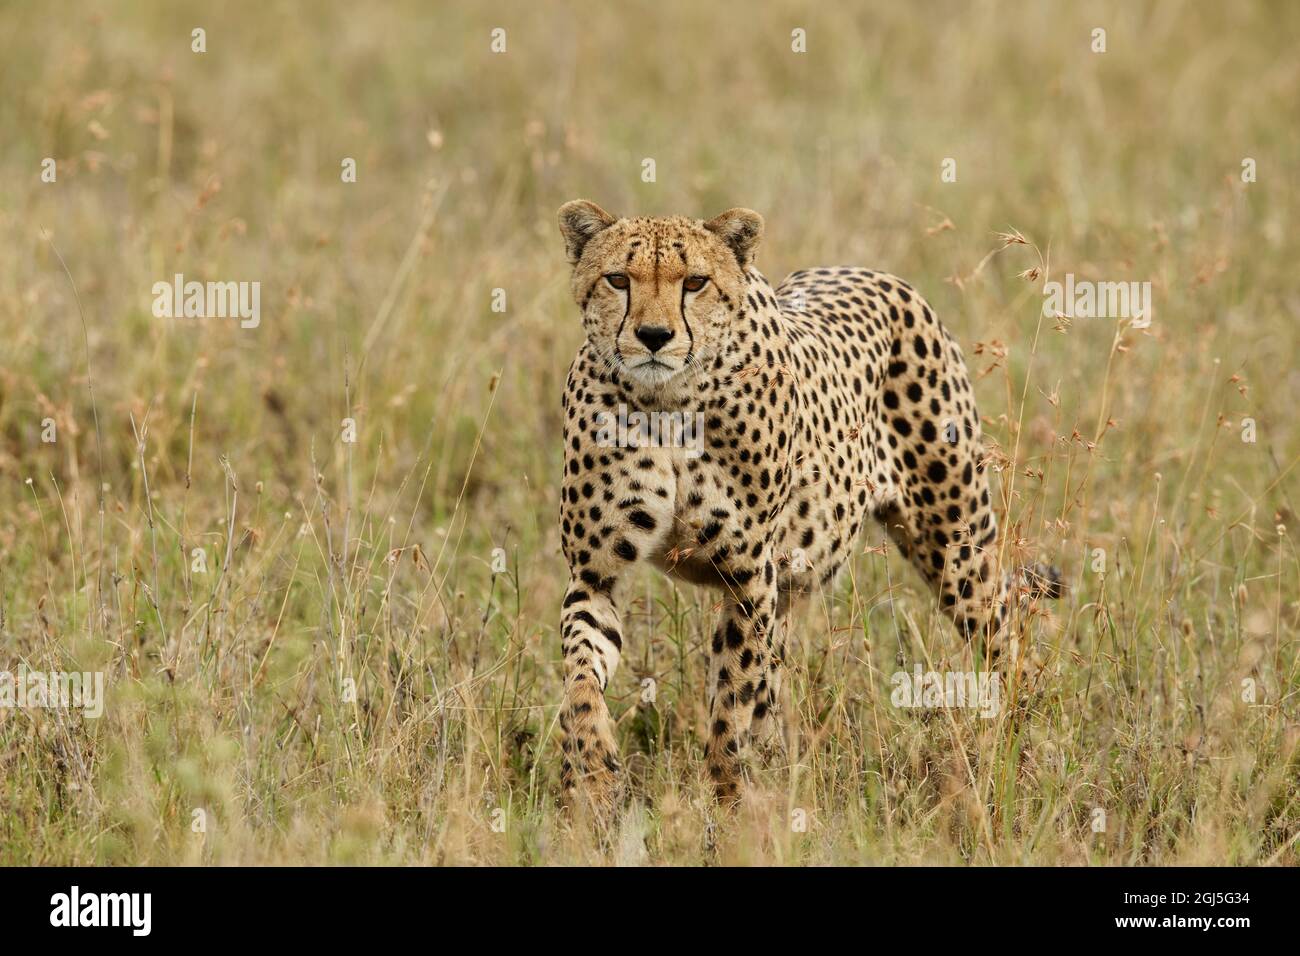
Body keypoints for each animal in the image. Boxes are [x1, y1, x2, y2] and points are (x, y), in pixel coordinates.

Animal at [555, 200, 1061, 814]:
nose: (653, 336)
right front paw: (593, 776)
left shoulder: (748, 577)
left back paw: (1018, 747)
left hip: (955, 548)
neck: (666, 403)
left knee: (1005, 634)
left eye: (694, 282)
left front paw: (728, 804)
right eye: (618, 280)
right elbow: (582, 681)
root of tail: (872, 273)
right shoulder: (596, 573)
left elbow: (730, 707)